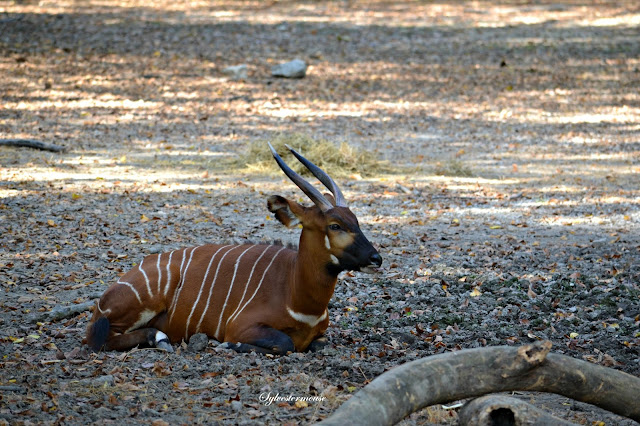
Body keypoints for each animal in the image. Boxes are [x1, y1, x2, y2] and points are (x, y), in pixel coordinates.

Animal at [85, 143, 382, 354]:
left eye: (356, 220)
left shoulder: (318, 336)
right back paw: (159, 339)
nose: (376, 258)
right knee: (98, 338)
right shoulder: (241, 326)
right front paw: (227, 345)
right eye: (335, 225)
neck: (295, 293)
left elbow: (317, 343)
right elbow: (284, 343)